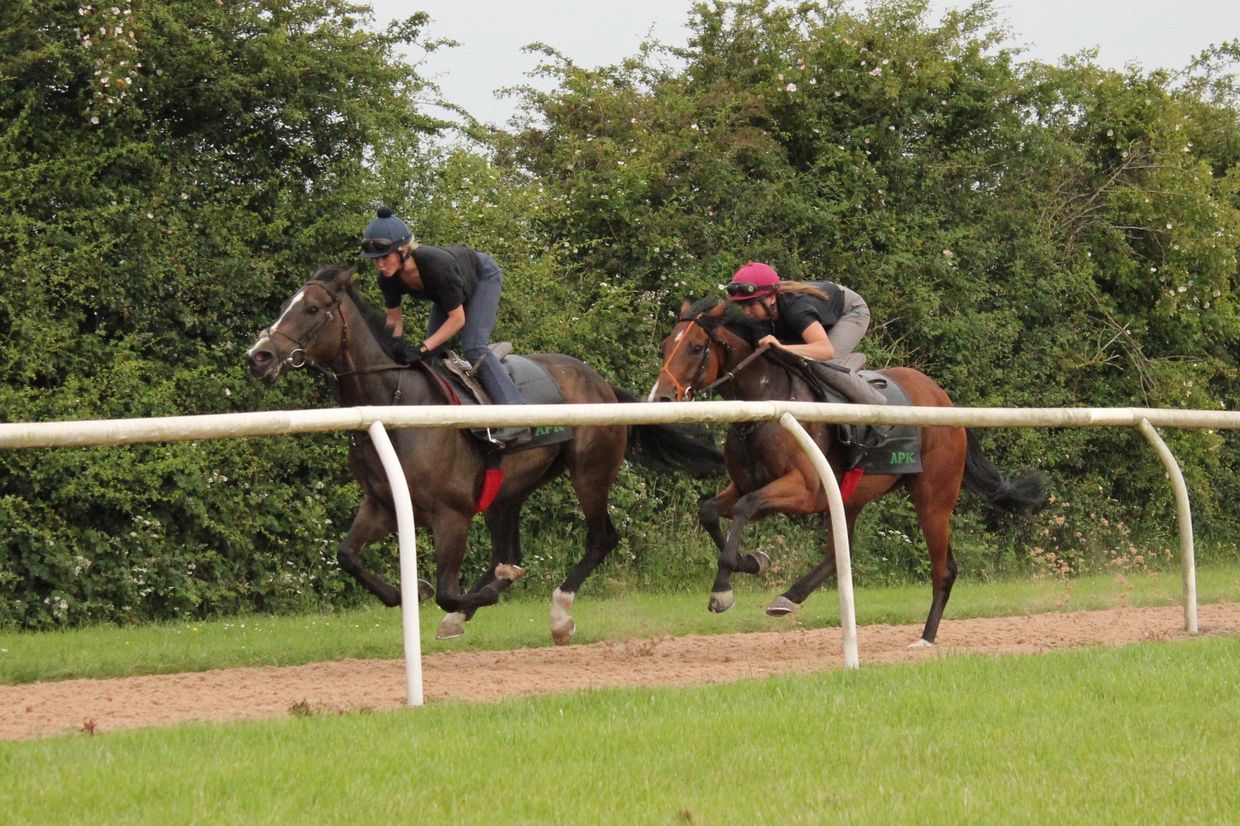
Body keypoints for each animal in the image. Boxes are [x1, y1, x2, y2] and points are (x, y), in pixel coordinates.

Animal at [245, 266, 724, 639]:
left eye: (310, 309)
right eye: (287, 304)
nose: (259, 357)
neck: (398, 402)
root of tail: (602, 385)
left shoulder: (451, 513)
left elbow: (446, 590)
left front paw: (472, 594)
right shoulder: (382, 503)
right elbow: (349, 556)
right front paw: (413, 591)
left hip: (589, 471)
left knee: (601, 537)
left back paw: (558, 613)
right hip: (508, 490)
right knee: (508, 551)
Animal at [649, 296, 1046, 644]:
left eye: (695, 348)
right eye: (666, 345)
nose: (661, 398)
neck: (767, 405)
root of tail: (945, 401)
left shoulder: (804, 490)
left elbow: (746, 507)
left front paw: (722, 591)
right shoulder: (749, 485)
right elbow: (710, 510)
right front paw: (752, 562)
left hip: (933, 498)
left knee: (943, 569)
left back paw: (926, 638)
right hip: (852, 495)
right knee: (841, 552)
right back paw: (790, 597)